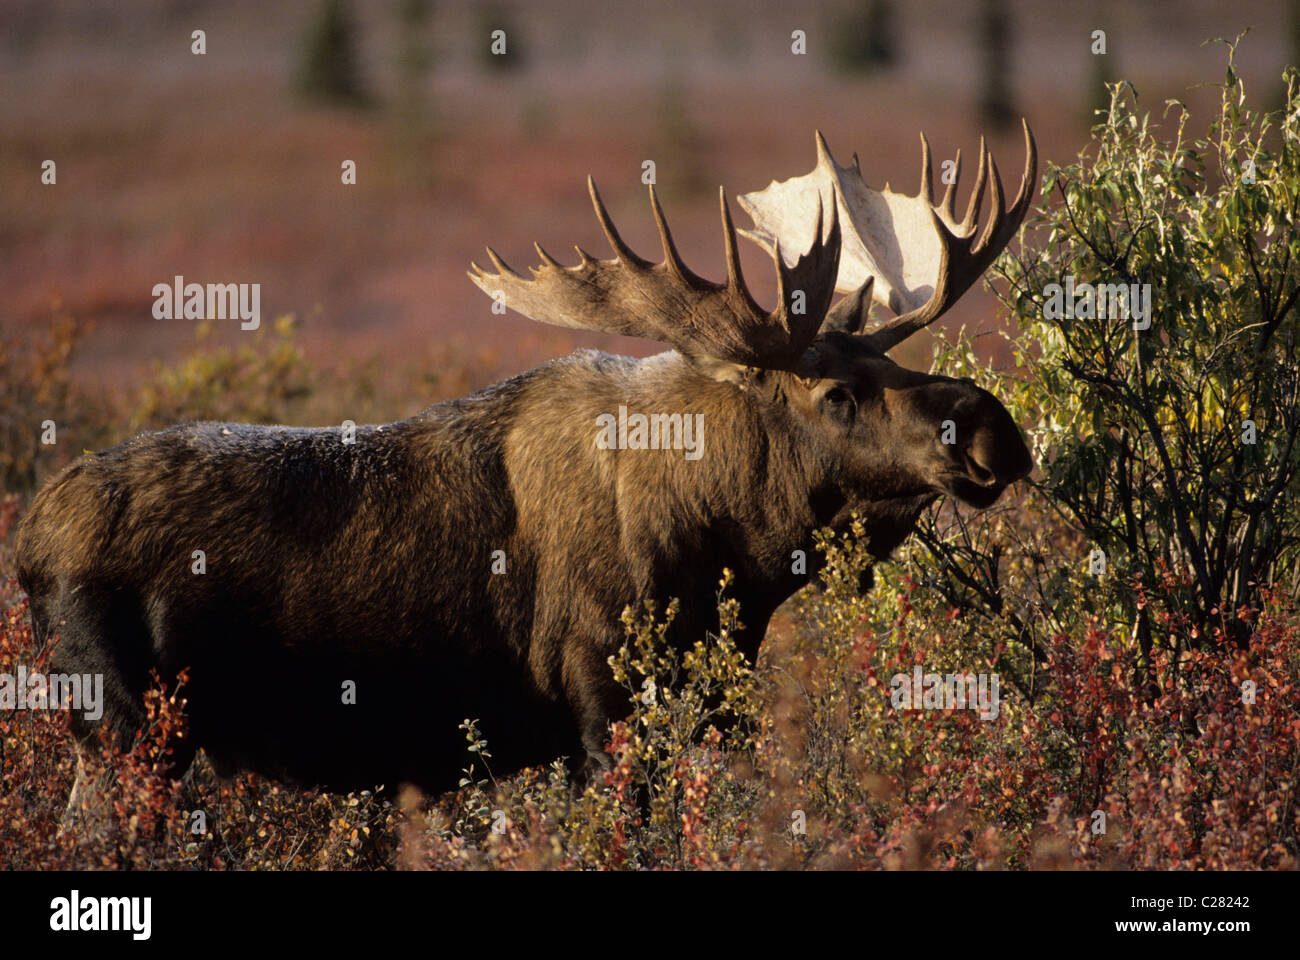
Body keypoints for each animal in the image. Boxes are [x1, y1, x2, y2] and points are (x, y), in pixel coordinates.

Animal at [15, 123, 1036, 808]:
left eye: (897, 363)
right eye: (836, 396)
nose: (994, 427)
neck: (728, 554)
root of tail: (26, 545)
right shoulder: (607, 710)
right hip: (123, 732)